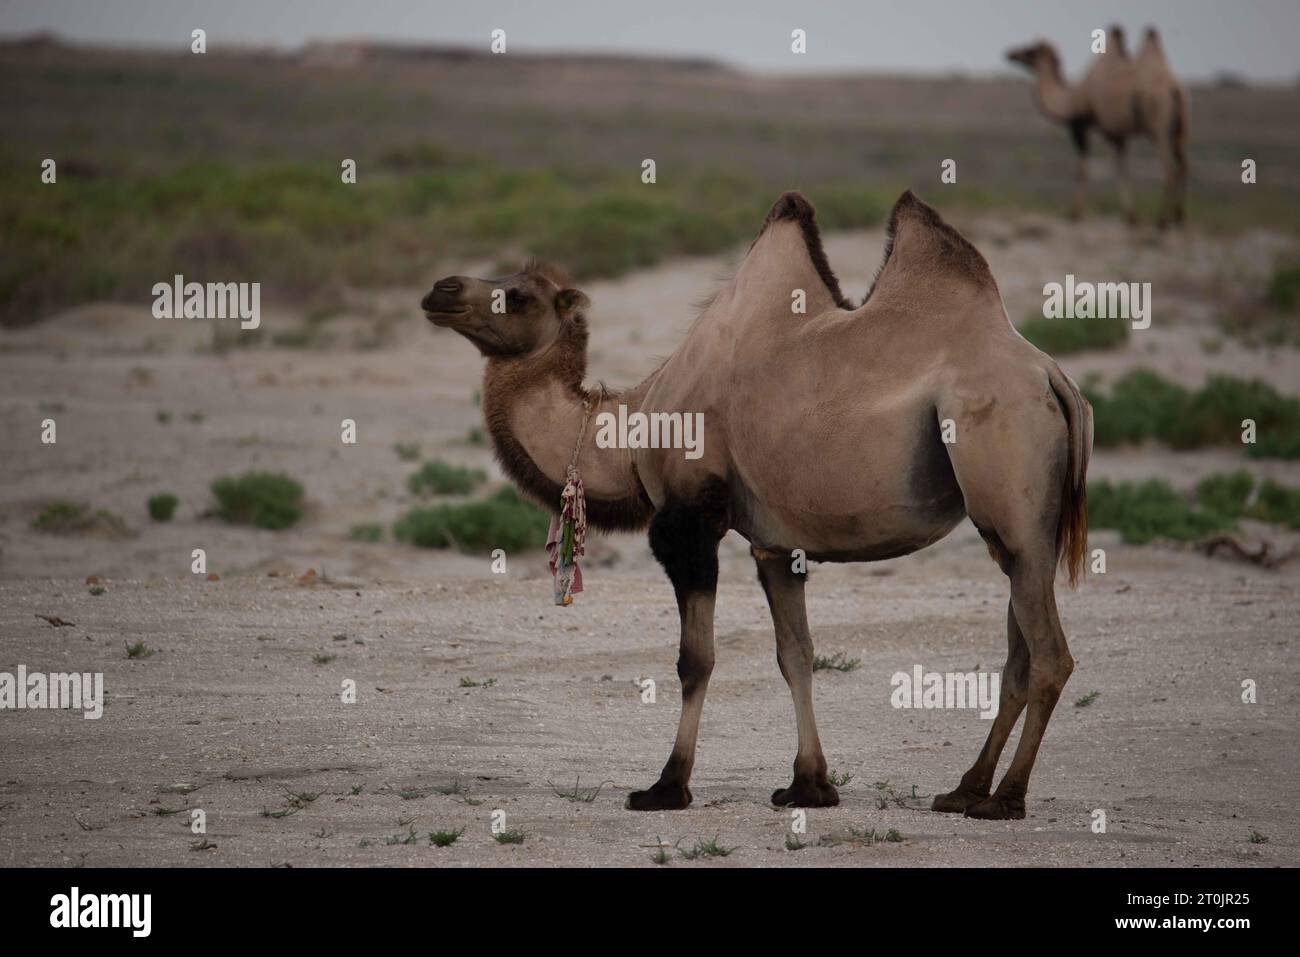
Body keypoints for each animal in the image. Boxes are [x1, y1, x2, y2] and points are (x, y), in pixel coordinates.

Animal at [421, 189, 1092, 820]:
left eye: (519, 296)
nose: (440, 288)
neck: (633, 431)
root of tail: (1052, 375)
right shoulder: (775, 544)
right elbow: (796, 654)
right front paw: (809, 786)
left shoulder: (689, 520)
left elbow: (696, 659)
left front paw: (666, 787)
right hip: (1026, 529)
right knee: (1019, 651)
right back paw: (964, 789)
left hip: (1007, 486)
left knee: (1050, 655)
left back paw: (1005, 799)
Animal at [1007, 25, 1187, 227]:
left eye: (1029, 51)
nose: (1010, 53)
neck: (1072, 100)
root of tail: (1174, 88)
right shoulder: (1118, 135)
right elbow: (1121, 170)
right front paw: (1130, 216)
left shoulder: (1084, 124)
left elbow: (1084, 170)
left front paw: (1075, 213)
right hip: (1180, 128)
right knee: (1183, 165)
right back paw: (1178, 216)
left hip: (1157, 126)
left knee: (1168, 168)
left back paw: (1162, 220)